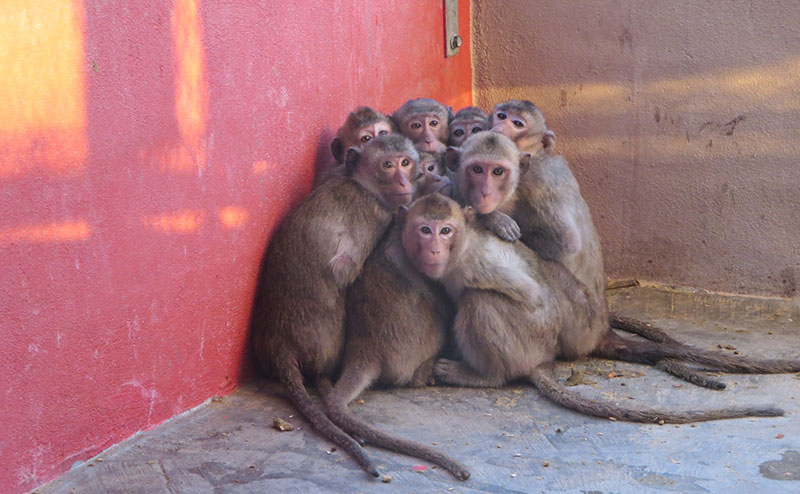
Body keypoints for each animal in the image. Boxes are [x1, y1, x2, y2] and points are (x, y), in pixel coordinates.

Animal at [250, 134, 423, 478]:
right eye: (388, 164)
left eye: (405, 162)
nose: (403, 181)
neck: (358, 183)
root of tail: (278, 343)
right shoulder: (374, 215)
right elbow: (342, 270)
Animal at [401, 193, 784, 423]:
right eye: (424, 229)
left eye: (445, 230)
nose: (433, 249)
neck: (461, 247)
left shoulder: (475, 263)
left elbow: (532, 298)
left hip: (525, 347)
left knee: (480, 300)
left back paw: (487, 375)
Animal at [446, 131, 800, 385]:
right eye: (476, 169)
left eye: (497, 171)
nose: (485, 193)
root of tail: (600, 329)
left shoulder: (535, 183)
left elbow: (561, 242)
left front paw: (490, 219)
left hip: (578, 323)